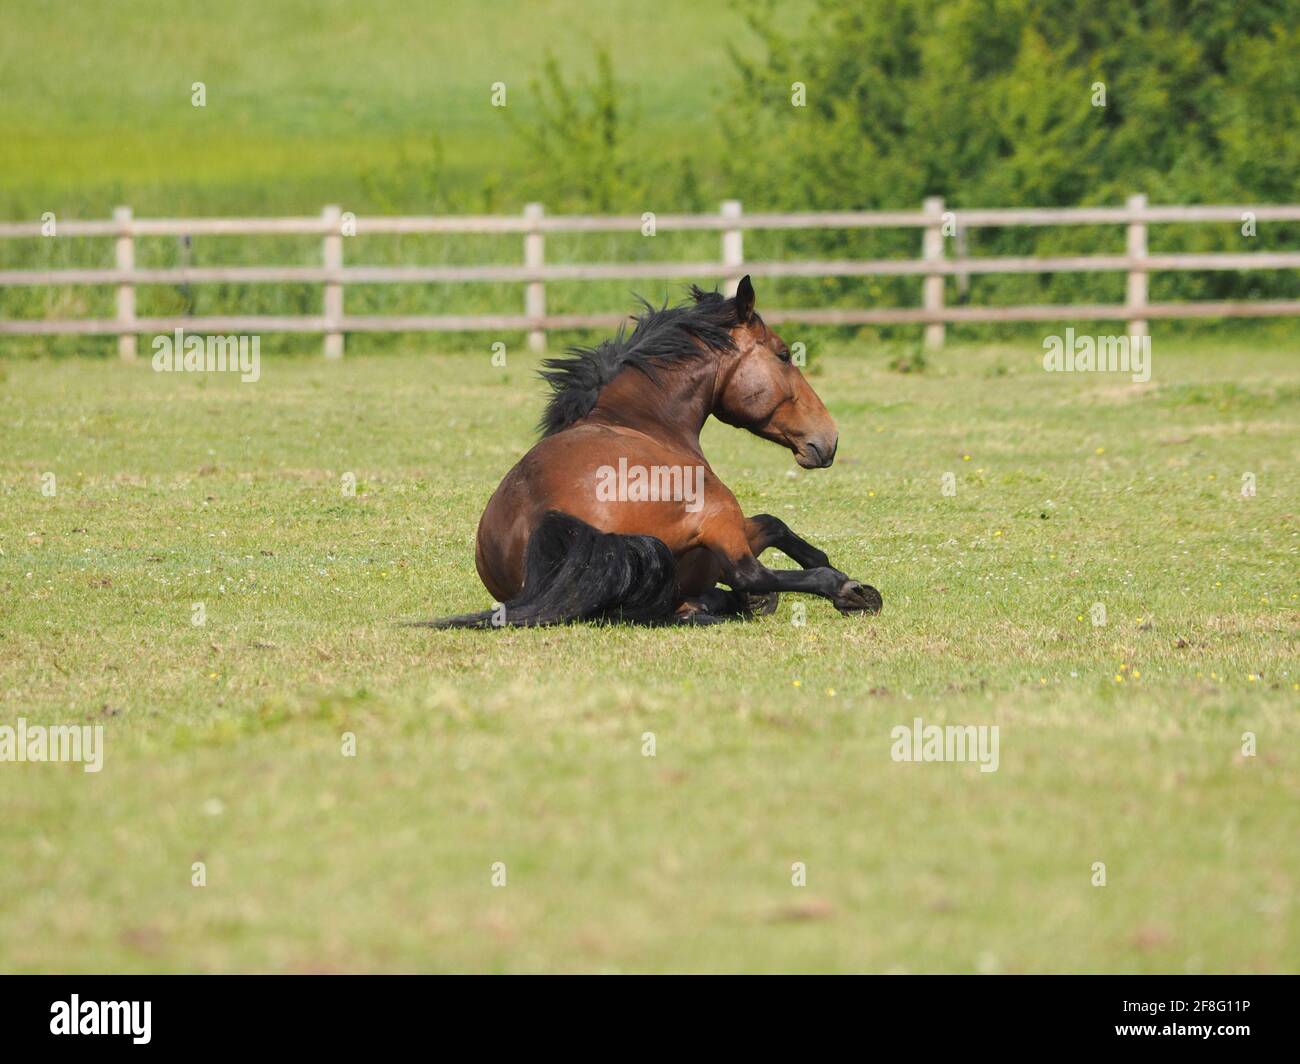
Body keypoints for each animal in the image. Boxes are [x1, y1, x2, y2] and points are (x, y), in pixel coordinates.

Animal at [422, 276, 882, 627]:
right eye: (784, 354)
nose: (828, 438)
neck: (641, 418)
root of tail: (549, 519)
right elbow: (772, 534)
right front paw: (838, 579)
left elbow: (775, 525)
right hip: (718, 513)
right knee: (747, 574)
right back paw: (847, 592)